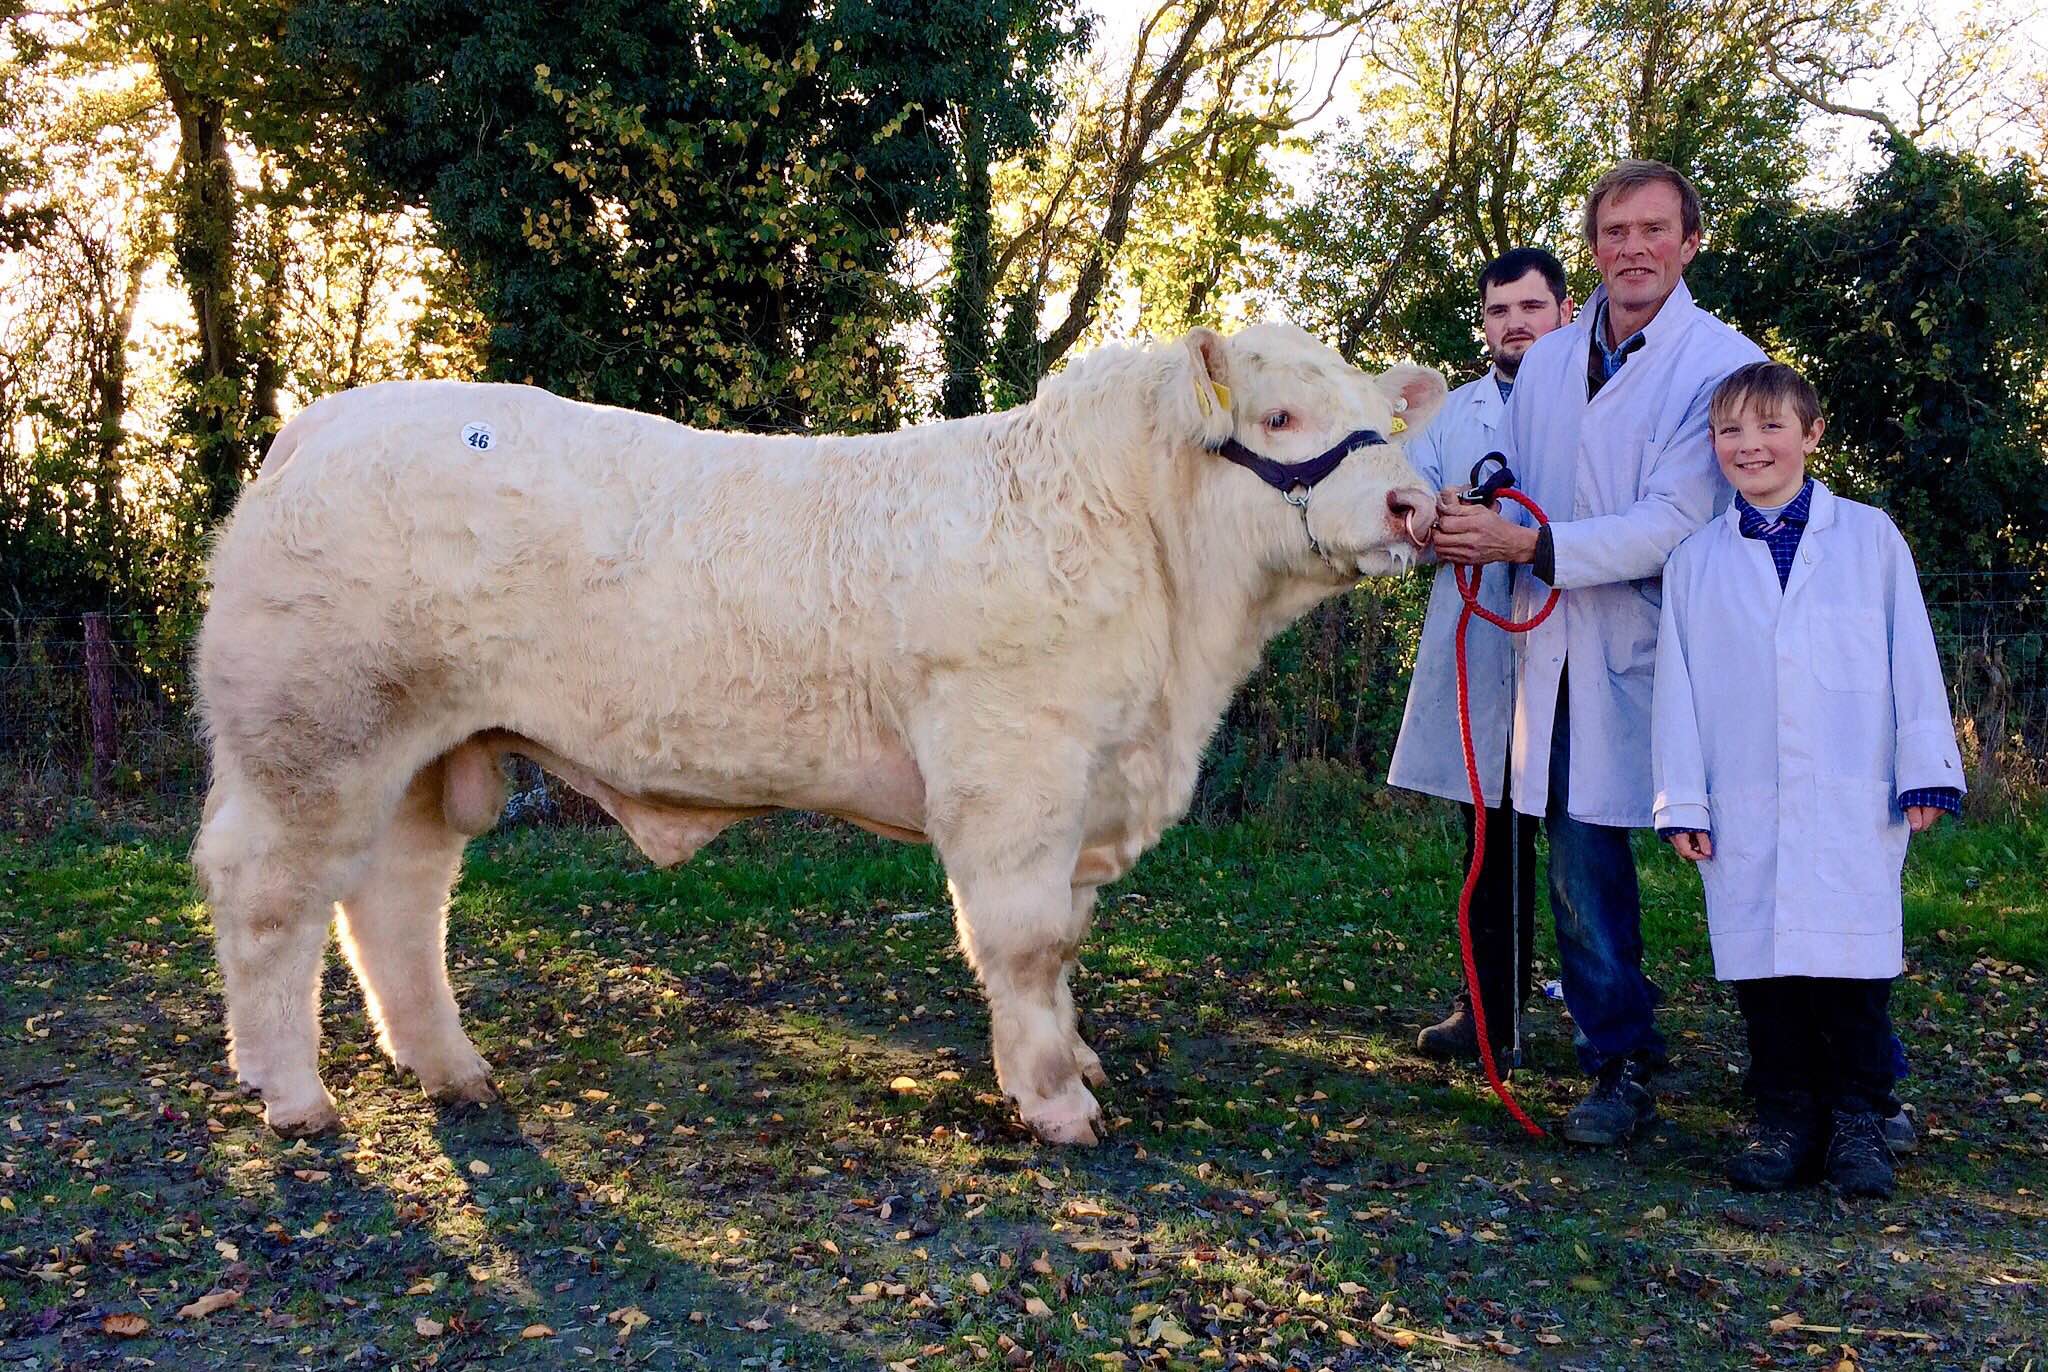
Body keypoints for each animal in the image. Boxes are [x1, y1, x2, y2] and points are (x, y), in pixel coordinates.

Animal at [192, 323, 1445, 1145]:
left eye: (1380, 422)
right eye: (1280, 417)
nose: (1413, 504)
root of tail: (323, 420)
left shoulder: (1089, 782)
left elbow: (1070, 944)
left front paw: (1075, 1052)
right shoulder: (1014, 772)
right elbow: (1029, 941)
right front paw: (1053, 1097)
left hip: (424, 751)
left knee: (396, 903)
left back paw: (450, 1068)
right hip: (315, 739)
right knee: (272, 901)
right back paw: (290, 1091)